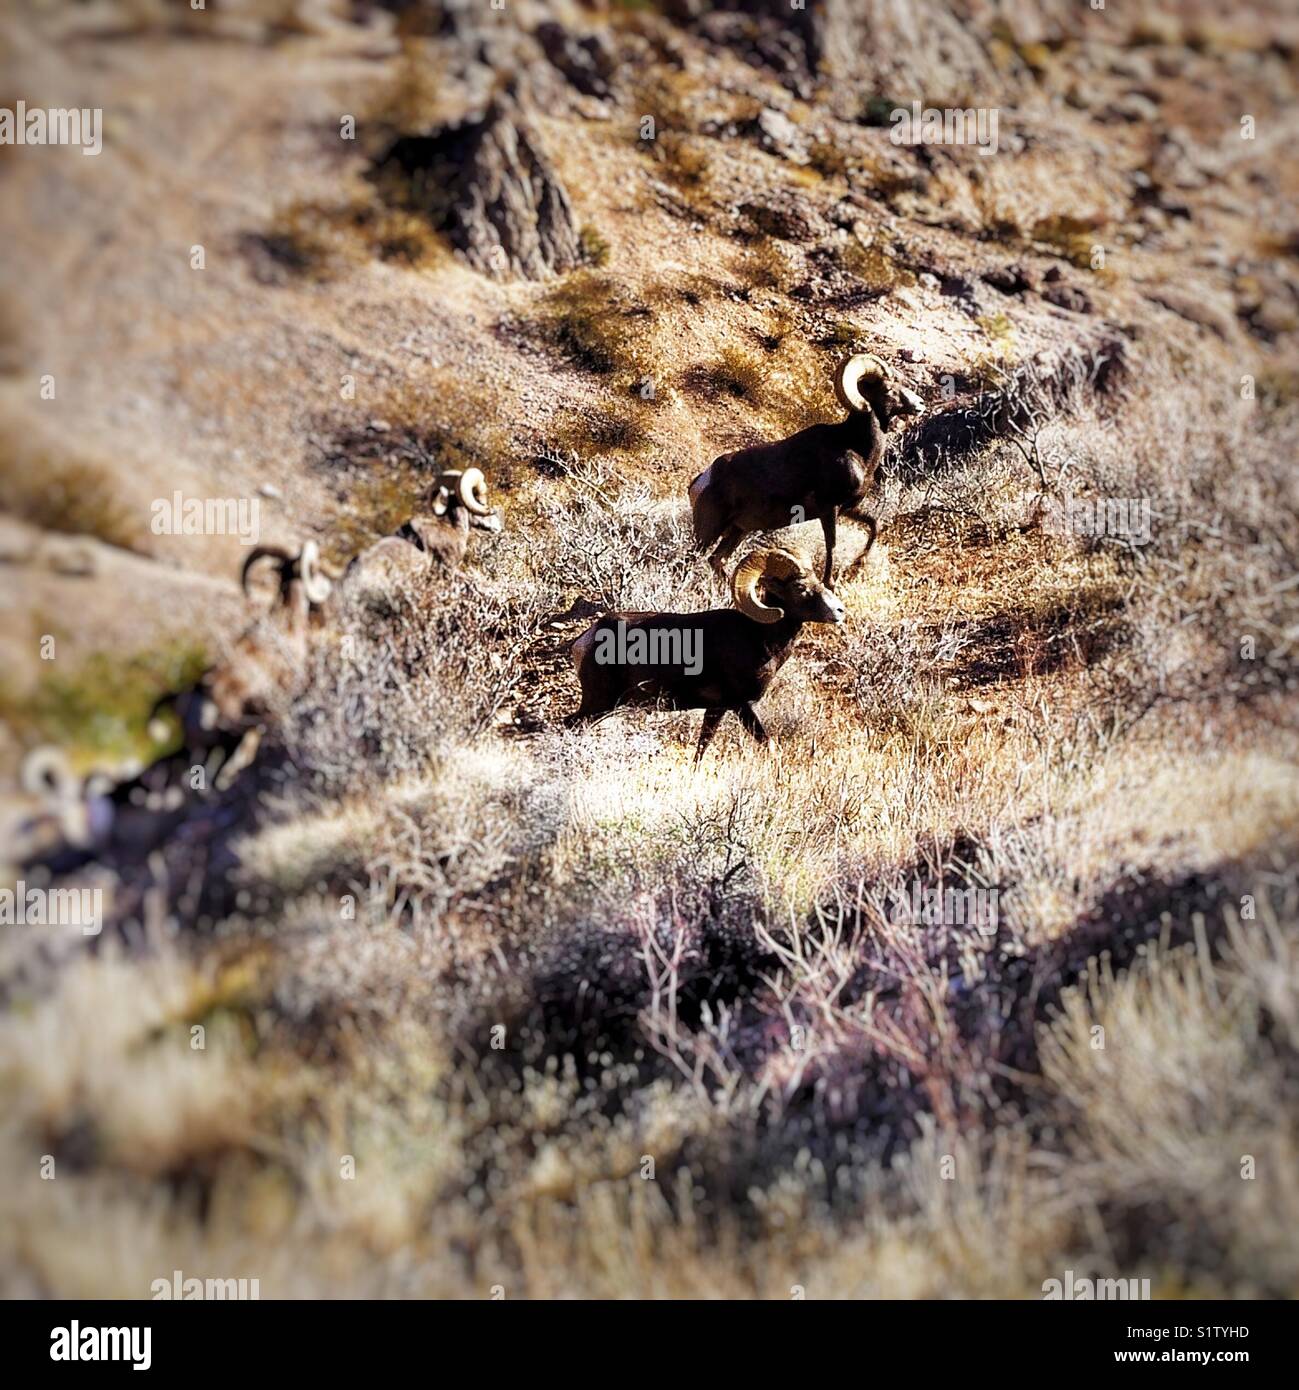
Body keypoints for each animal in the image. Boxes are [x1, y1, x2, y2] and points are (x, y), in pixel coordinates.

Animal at [566, 544, 845, 762]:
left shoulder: (716, 710)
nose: (839, 611)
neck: (757, 637)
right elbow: (767, 745)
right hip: (598, 704)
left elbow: (702, 749)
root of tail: (586, 640)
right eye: (800, 588)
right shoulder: (739, 705)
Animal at [688, 352, 924, 587]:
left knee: (717, 560)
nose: (920, 404)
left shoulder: (849, 509)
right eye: (888, 388)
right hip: (709, 531)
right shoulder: (829, 510)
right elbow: (832, 546)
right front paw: (829, 584)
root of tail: (703, 480)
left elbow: (874, 524)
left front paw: (857, 565)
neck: (858, 450)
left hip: (739, 530)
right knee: (693, 558)